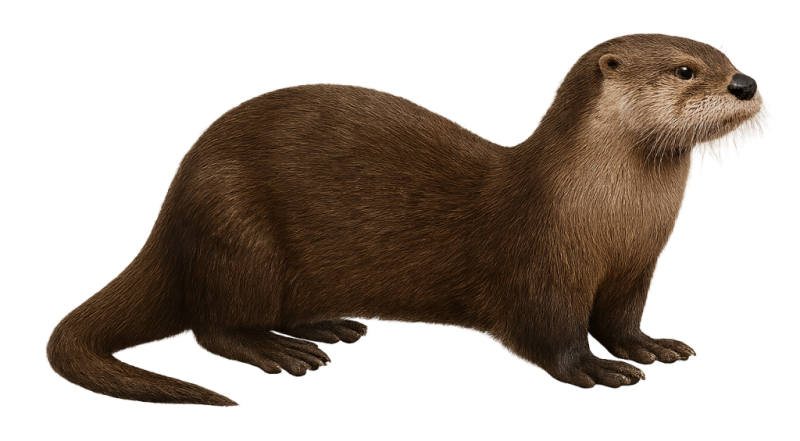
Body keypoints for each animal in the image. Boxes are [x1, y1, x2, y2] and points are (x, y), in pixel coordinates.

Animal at [45, 32, 776, 407]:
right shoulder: (540, 268)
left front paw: (650, 346)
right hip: (234, 228)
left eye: (730, 59)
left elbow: (623, 321)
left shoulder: (636, 269)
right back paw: (281, 351)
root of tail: (169, 212)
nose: (745, 84)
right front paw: (595, 369)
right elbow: (551, 333)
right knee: (214, 325)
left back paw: (329, 327)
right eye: (685, 70)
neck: (604, 218)